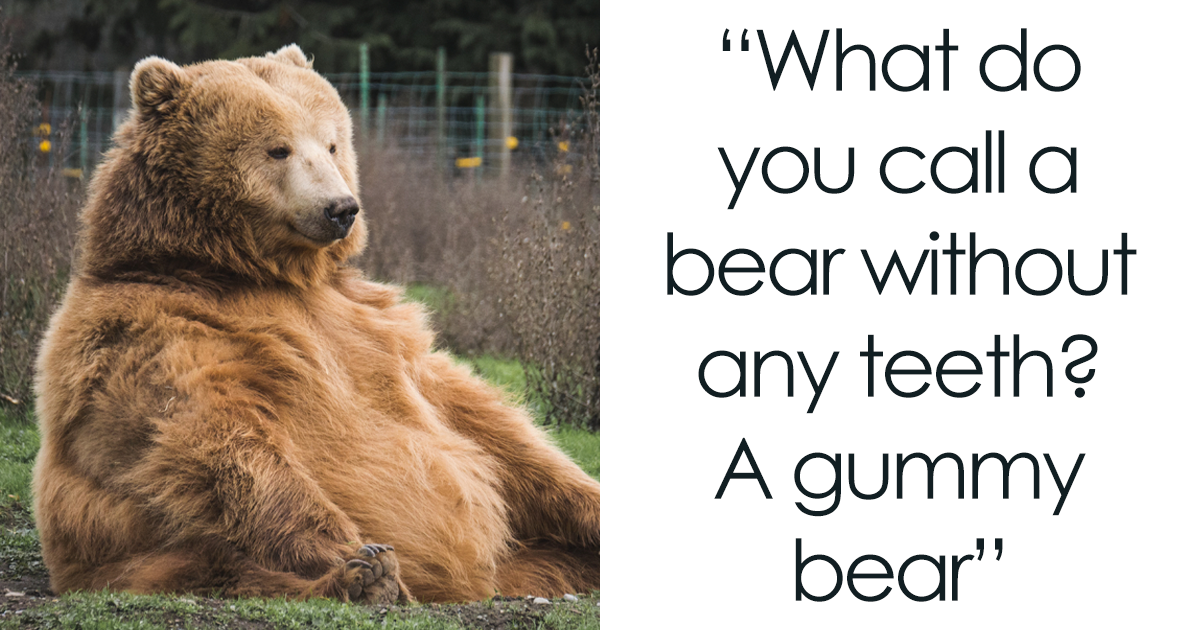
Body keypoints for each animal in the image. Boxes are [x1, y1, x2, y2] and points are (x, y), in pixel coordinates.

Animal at [31, 44, 599, 604]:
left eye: (331, 143)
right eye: (277, 149)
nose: (341, 208)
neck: (245, 270)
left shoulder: (370, 325)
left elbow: (481, 418)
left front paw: (592, 504)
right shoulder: (156, 331)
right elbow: (220, 442)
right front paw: (362, 558)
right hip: (144, 552)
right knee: (226, 564)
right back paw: (362, 581)